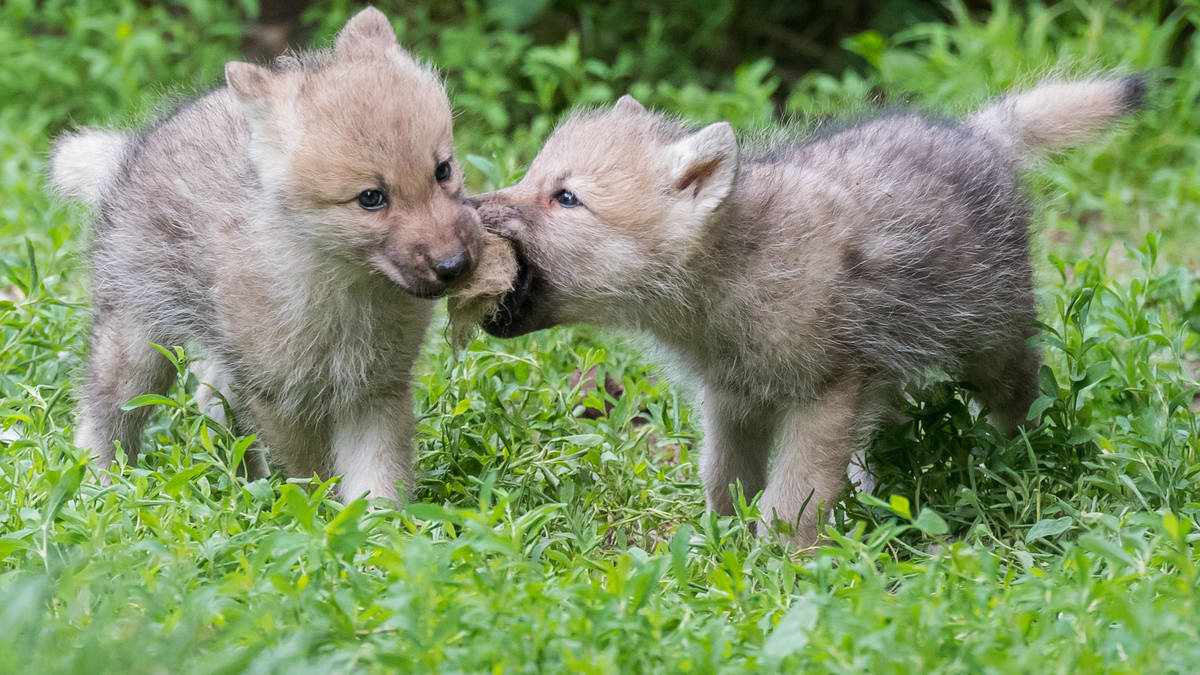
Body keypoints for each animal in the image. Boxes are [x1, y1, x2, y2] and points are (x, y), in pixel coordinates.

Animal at [48, 8, 481, 501]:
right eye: (371, 198)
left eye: (443, 171)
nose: (455, 266)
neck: (347, 291)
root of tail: (129, 151)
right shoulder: (281, 397)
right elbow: (316, 477)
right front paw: (318, 516)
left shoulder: (375, 390)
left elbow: (377, 477)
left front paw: (382, 522)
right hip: (139, 347)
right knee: (103, 415)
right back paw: (97, 489)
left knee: (211, 399)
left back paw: (240, 485)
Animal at [471, 76, 1145, 544]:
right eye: (530, 174)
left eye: (566, 197)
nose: (471, 210)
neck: (729, 274)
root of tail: (982, 131)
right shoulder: (733, 399)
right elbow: (726, 485)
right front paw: (724, 550)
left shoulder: (826, 394)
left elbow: (789, 499)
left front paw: (775, 569)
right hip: (892, 374)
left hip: (992, 347)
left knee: (1021, 398)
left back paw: (1014, 461)